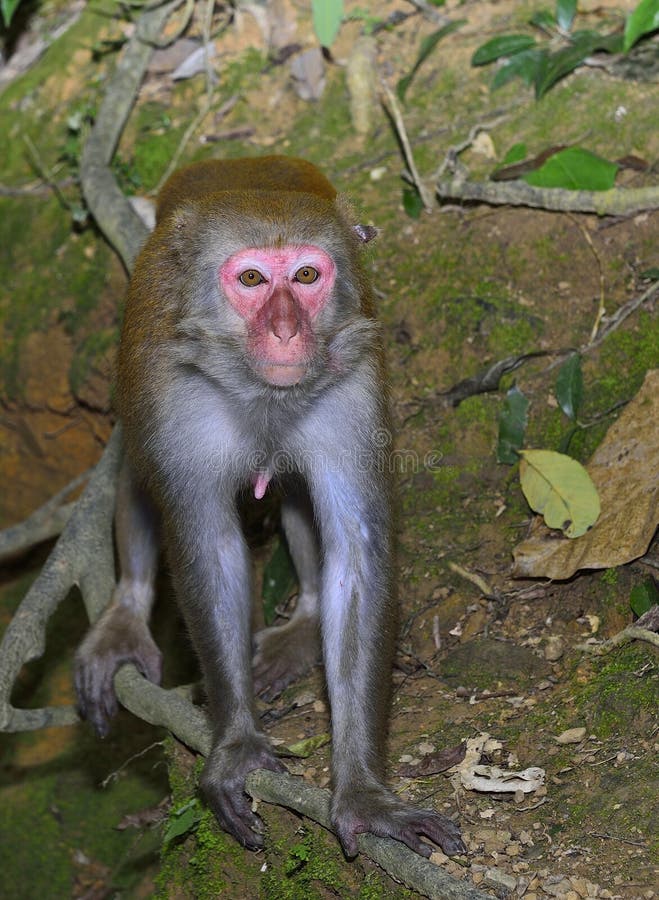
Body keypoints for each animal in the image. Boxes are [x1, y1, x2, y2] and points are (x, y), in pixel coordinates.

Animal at [75, 156, 465, 859]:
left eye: (306, 276)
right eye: (252, 279)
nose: (286, 330)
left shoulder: (352, 389)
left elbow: (357, 555)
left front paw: (363, 794)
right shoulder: (175, 399)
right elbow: (210, 550)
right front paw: (235, 747)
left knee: (303, 496)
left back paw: (304, 625)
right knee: (137, 475)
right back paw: (125, 612)